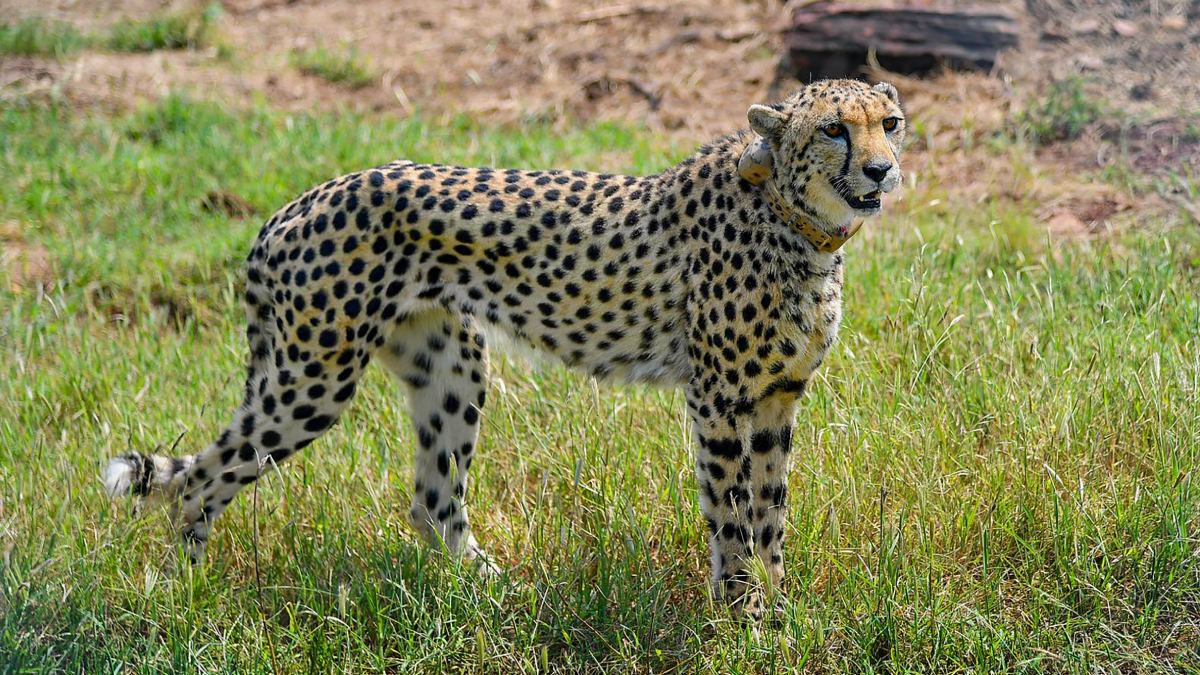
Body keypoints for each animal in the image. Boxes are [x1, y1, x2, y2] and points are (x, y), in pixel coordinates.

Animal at [104, 78, 906, 617]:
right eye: (834, 129)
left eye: (890, 123)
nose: (881, 169)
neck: (798, 222)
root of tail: (296, 204)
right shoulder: (718, 399)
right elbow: (733, 516)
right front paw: (744, 616)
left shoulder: (776, 398)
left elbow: (771, 513)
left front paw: (781, 606)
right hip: (313, 378)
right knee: (203, 477)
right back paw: (183, 591)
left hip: (449, 365)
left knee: (433, 501)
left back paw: (496, 594)